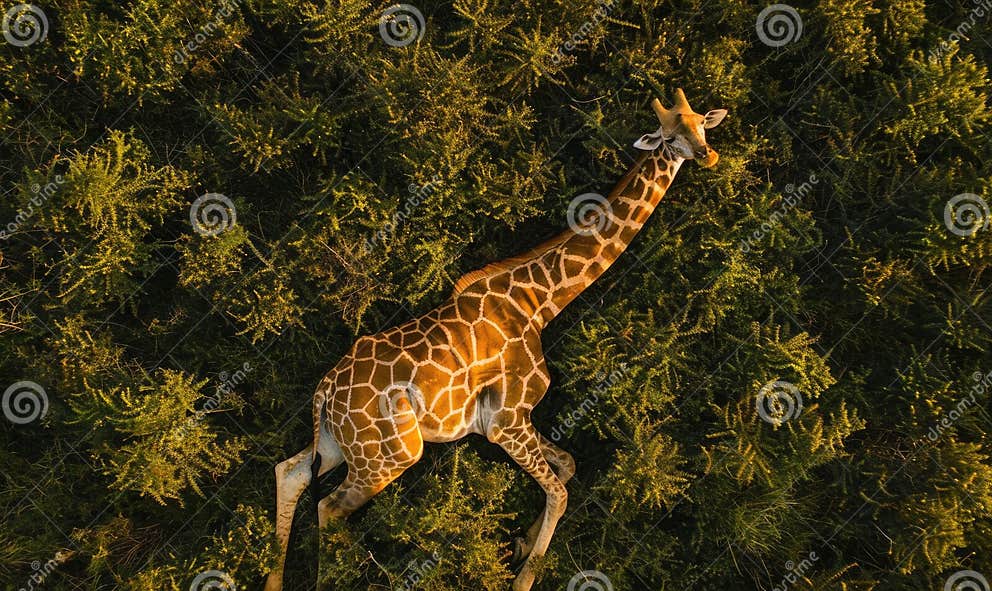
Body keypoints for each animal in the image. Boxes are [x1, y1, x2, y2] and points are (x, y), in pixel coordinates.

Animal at [264, 88, 727, 591]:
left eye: (702, 124)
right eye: (670, 136)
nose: (708, 154)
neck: (538, 301)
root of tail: (325, 390)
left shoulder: (510, 419)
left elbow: (568, 466)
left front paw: (521, 543)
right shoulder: (507, 421)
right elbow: (560, 491)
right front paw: (524, 576)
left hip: (337, 443)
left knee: (291, 472)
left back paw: (273, 581)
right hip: (392, 453)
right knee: (329, 507)